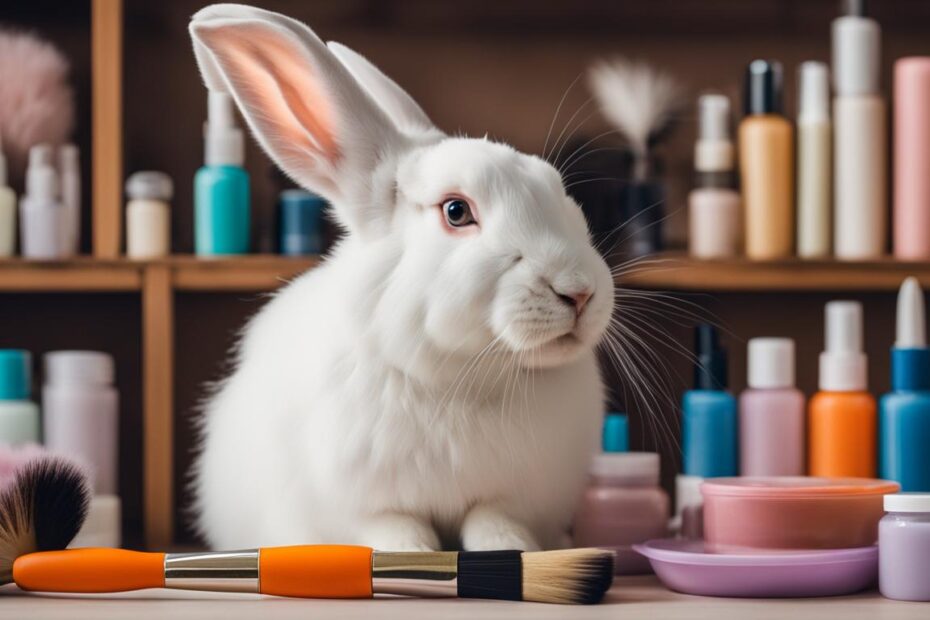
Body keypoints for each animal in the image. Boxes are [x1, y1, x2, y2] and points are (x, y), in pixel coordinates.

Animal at [189, 4, 615, 552]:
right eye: (456, 211)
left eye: (559, 192)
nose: (580, 291)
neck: (463, 381)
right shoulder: (364, 505)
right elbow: (394, 529)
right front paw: (412, 553)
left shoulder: (511, 497)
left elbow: (494, 520)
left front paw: (516, 550)